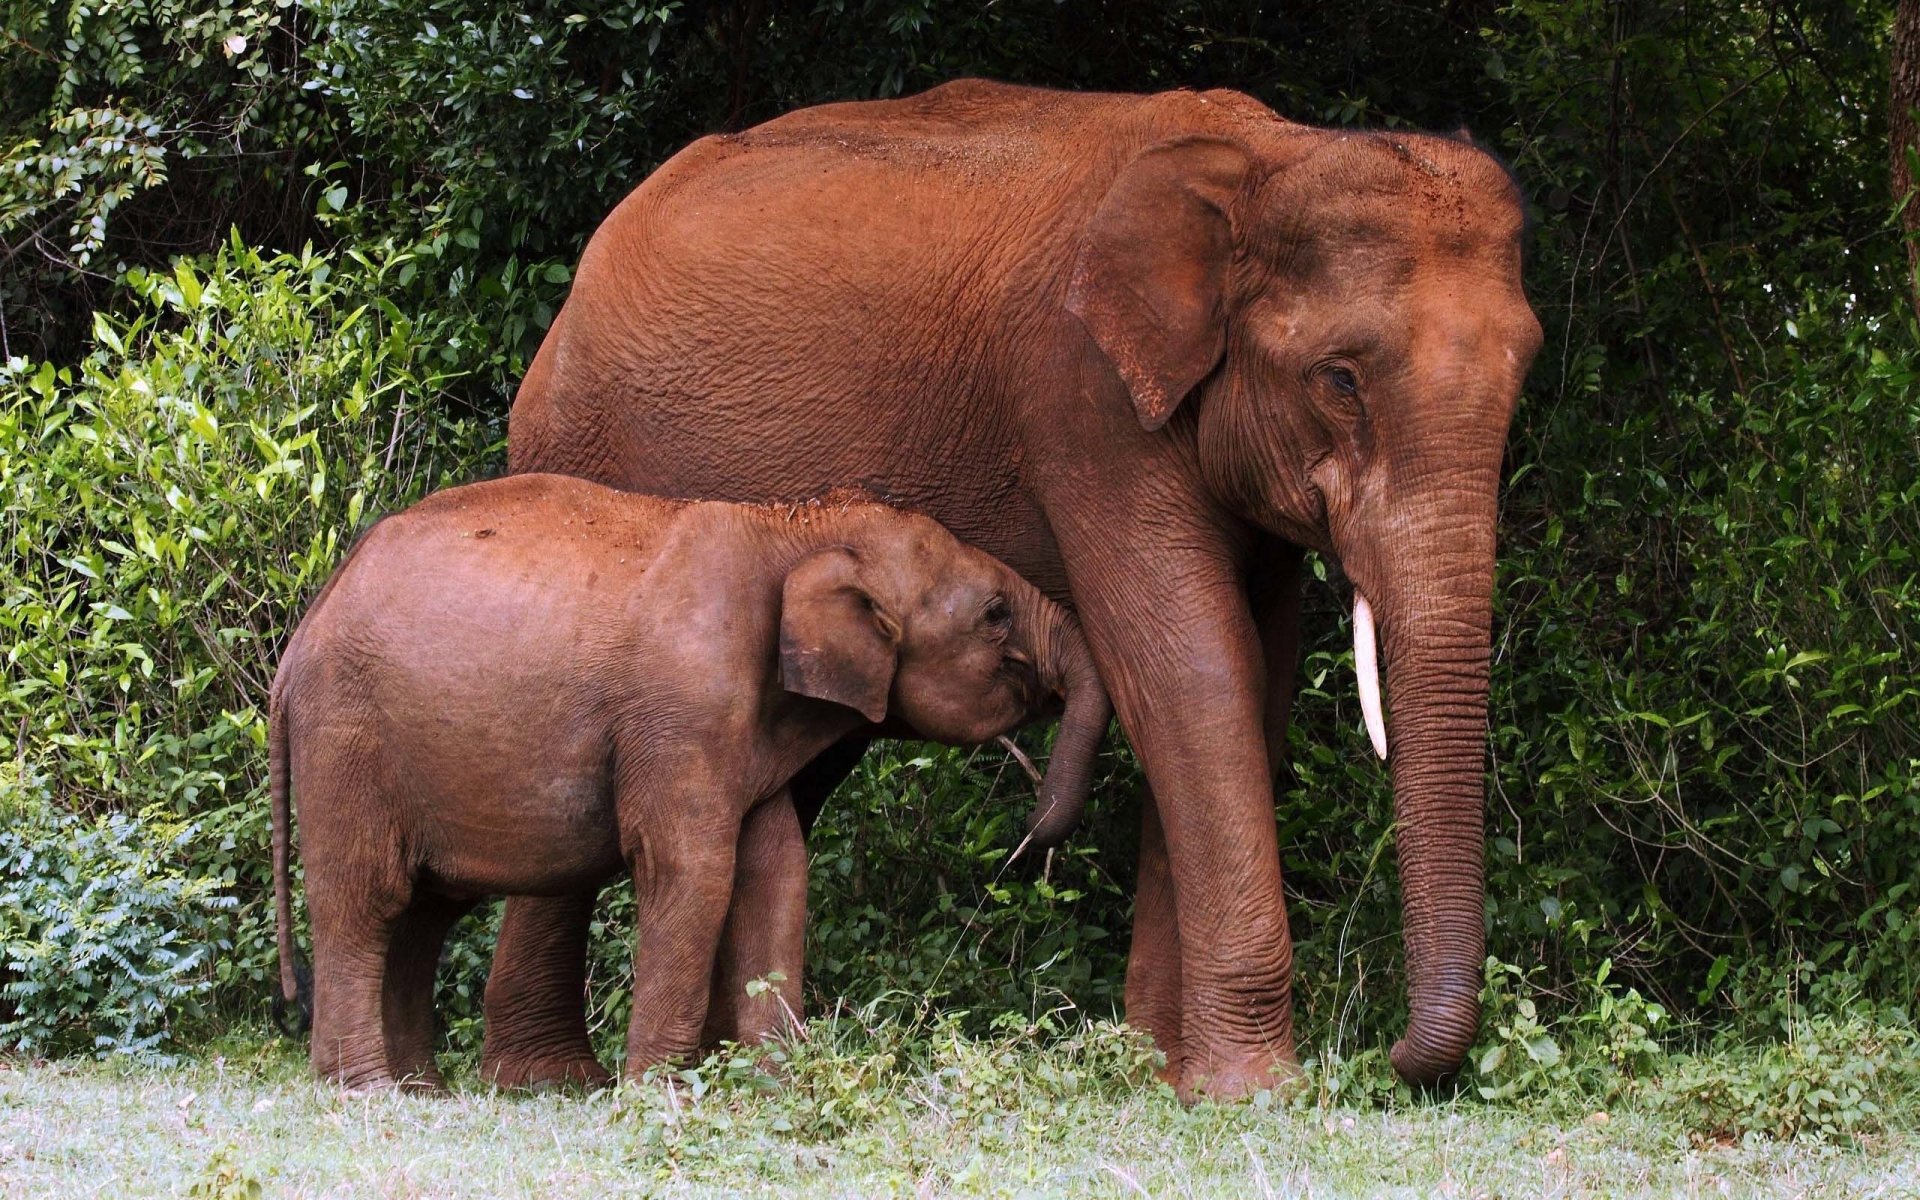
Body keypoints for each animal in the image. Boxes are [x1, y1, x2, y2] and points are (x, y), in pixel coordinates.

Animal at [268, 473, 1109, 1089]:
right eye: (996, 614)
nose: (1027, 839)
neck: (794, 526)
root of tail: (298, 638)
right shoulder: (680, 712)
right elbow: (695, 871)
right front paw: (660, 1095)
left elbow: (778, 871)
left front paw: (778, 1087)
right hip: (346, 739)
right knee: (365, 899)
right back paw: (367, 1092)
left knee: (425, 910)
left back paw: (420, 1093)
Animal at [495, 78, 1542, 1099]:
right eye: (1340, 380)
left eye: (1526, 368)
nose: (1397, 1062)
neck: (1268, 151)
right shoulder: (1080, 400)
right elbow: (1192, 672)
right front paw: (1251, 1092)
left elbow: (1256, 673)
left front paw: (1163, 1074)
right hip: (582, 445)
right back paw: (548, 1079)